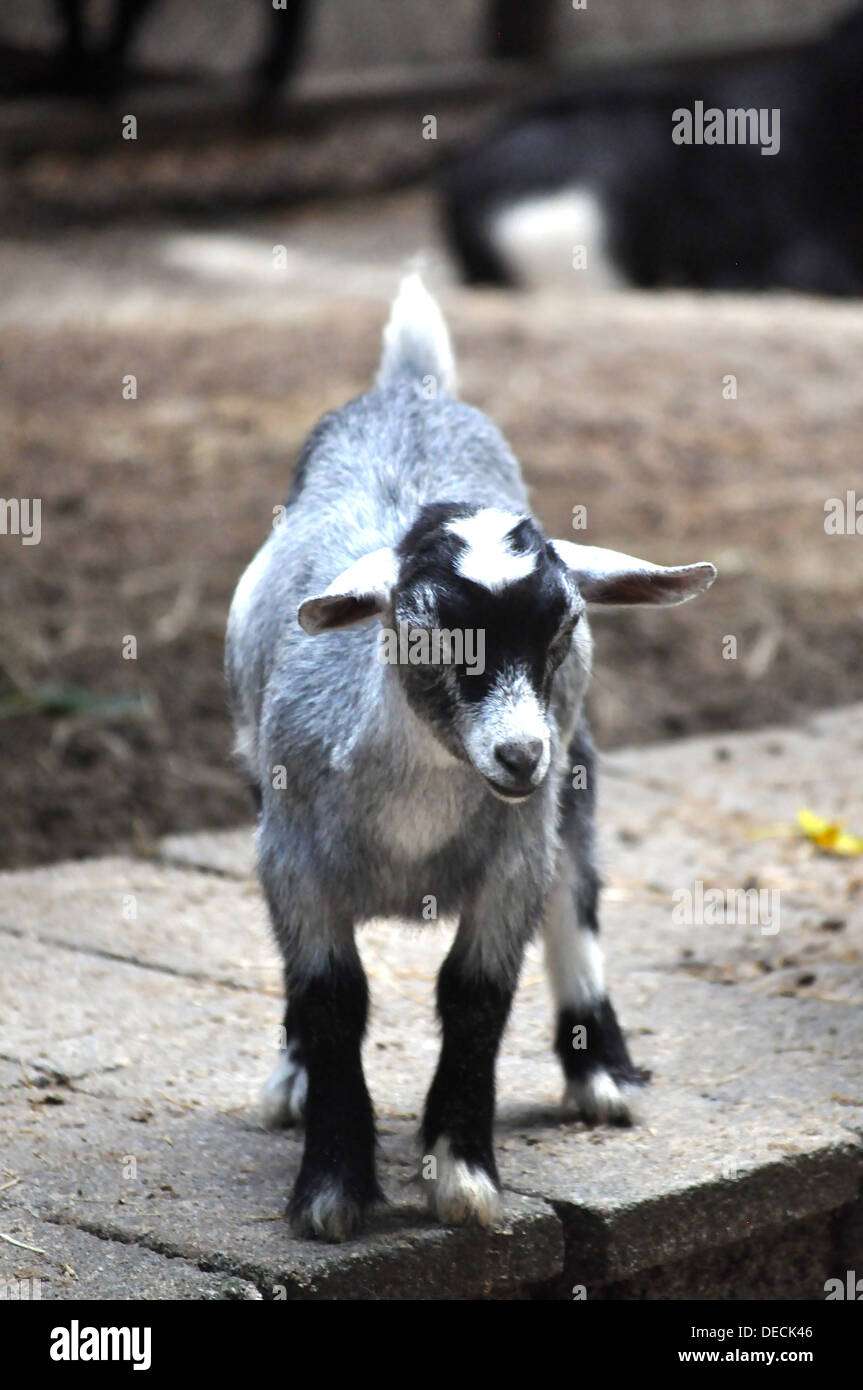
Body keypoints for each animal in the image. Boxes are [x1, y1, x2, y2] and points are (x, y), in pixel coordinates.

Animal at [225, 276, 716, 1241]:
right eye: (422, 632)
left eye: (564, 626)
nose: (519, 753)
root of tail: (410, 392)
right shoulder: (291, 859)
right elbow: (332, 999)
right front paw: (331, 1190)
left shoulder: (511, 862)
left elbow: (476, 993)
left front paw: (461, 1173)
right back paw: (291, 1080)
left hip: (576, 763)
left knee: (578, 885)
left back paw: (599, 1067)